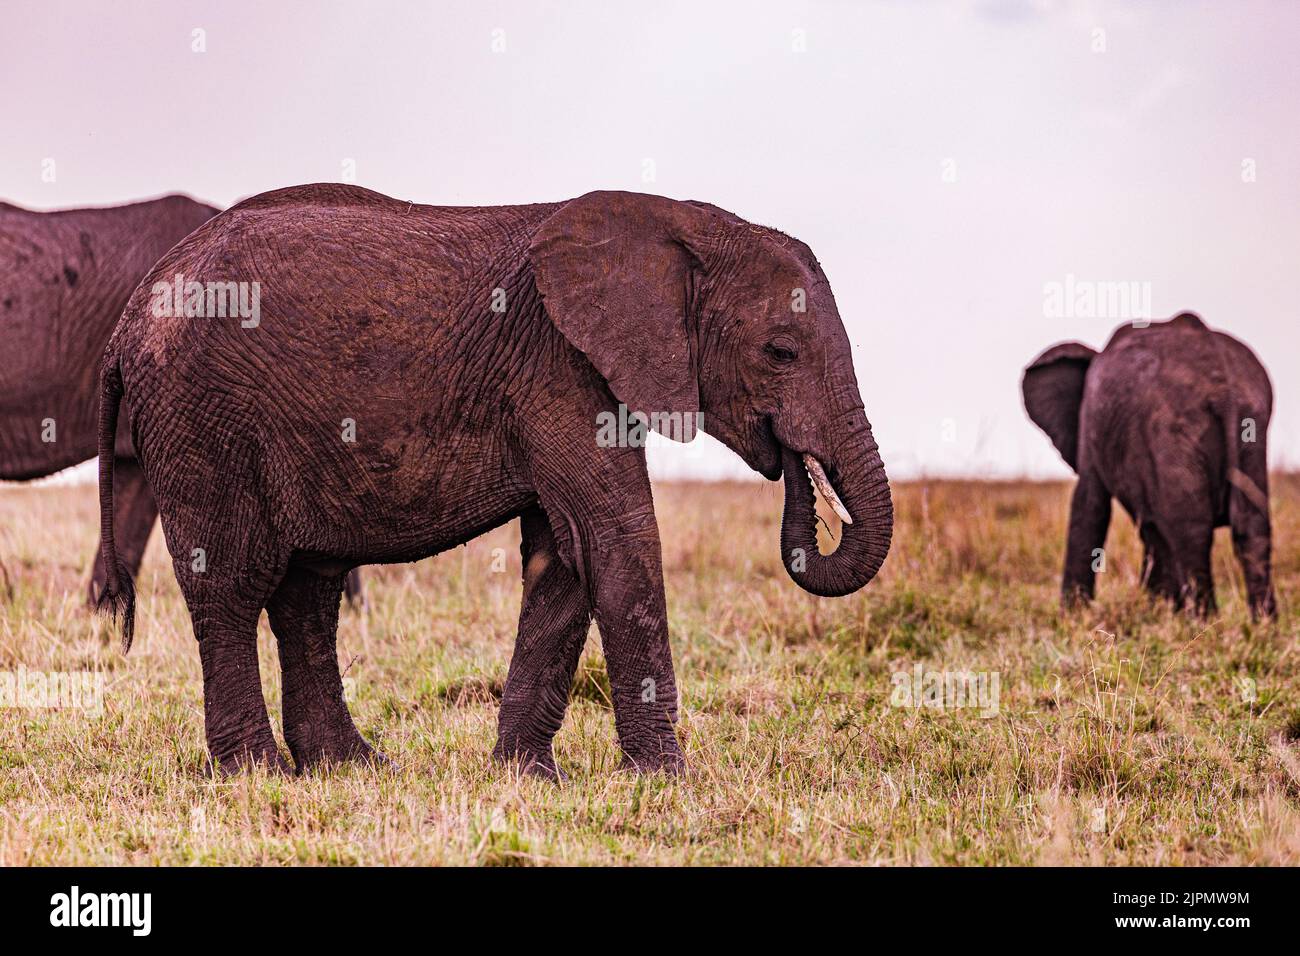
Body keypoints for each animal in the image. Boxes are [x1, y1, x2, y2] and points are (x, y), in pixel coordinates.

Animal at [94, 184, 894, 777]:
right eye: (781, 351)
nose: (794, 467)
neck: (679, 222)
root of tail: (129, 314)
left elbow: (565, 557)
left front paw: (527, 778)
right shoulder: (561, 369)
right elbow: (616, 542)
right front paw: (666, 782)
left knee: (307, 592)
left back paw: (351, 767)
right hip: (202, 414)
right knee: (231, 583)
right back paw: (257, 774)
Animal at [1022, 312, 1276, 618]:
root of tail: (1223, 389)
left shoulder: (1090, 418)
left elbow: (1090, 505)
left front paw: (1073, 618)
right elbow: (1153, 530)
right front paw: (1162, 609)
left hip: (1172, 425)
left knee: (1191, 529)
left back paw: (1204, 622)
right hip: (1251, 426)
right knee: (1252, 526)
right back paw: (1262, 624)